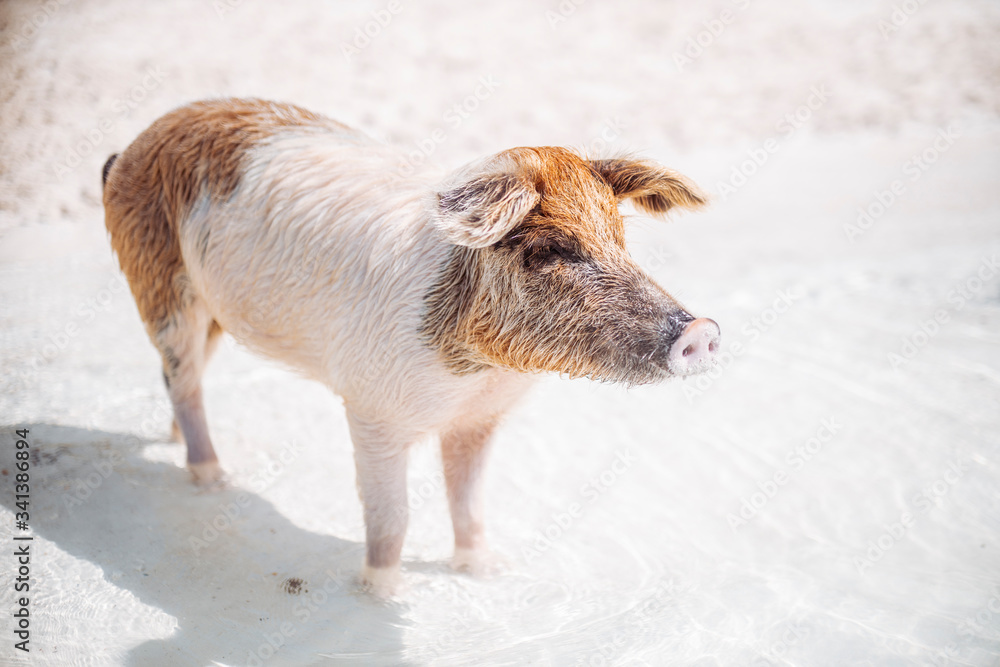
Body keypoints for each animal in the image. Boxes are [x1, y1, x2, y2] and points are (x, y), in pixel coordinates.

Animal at [102, 98, 720, 595]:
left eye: (620, 238)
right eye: (547, 250)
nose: (703, 332)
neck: (478, 374)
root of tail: (130, 149)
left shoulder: (481, 418)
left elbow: (468, 499)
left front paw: (484, 572)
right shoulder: (371, 410)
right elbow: (392, 514)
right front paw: (381, 594)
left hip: (206, 310)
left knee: (179, 379)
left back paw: (178, 446)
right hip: (160, 285)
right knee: (181, 377)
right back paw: (213, 478)